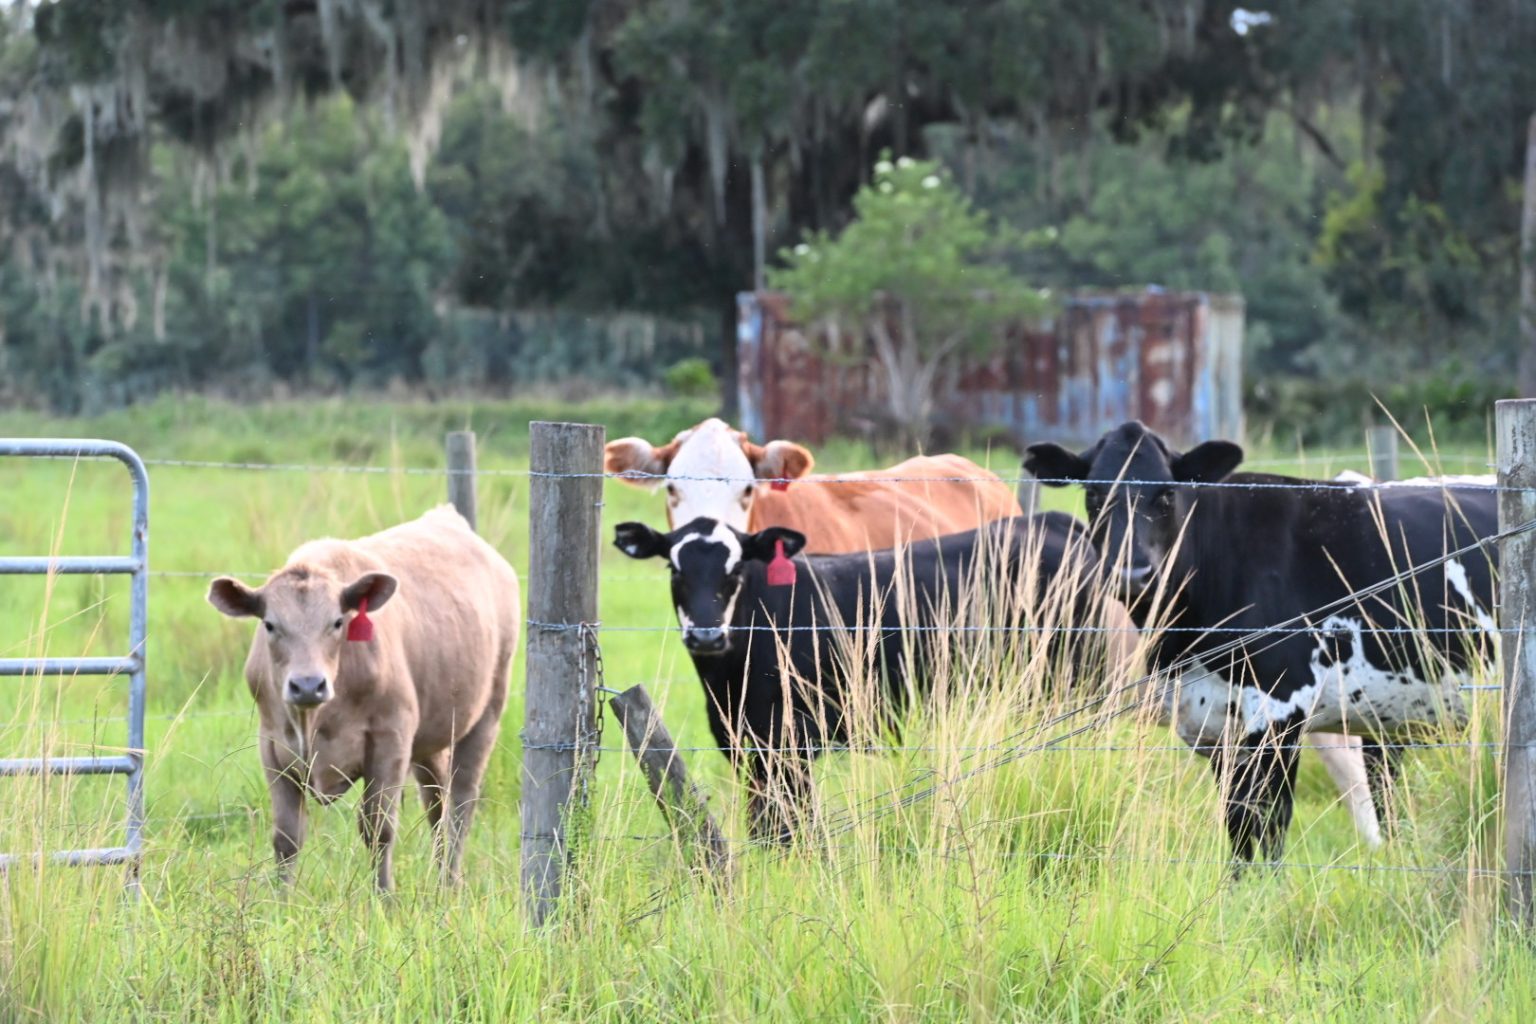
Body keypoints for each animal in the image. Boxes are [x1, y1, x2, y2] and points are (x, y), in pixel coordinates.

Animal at [206, 506, 520, 892]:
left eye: (338, 622)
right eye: (269, 625)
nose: (307, 685)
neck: (315, 722)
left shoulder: (390, 739)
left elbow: (378, 828)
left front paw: (383, 897)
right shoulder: (273, 746)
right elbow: (287, 837)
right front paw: (281, 900)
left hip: (486, 715)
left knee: (461, 803)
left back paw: (449, 881)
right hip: (432, 734)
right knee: (437, 802)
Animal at [614, 511, 1112, 842]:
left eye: (735, 568)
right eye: (674, 567)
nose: (706, 633)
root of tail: (1046, 523)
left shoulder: (791, 740)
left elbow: (792, 828)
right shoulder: (748, 745)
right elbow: (764, 826)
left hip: (1074, 679)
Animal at [1024, 421, 1496, 864]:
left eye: (1167, 495)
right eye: (1094, 494)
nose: (1131, 574)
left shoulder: (1280, 713)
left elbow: (1268, 827)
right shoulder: (1215, 727)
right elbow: (1237, 830)